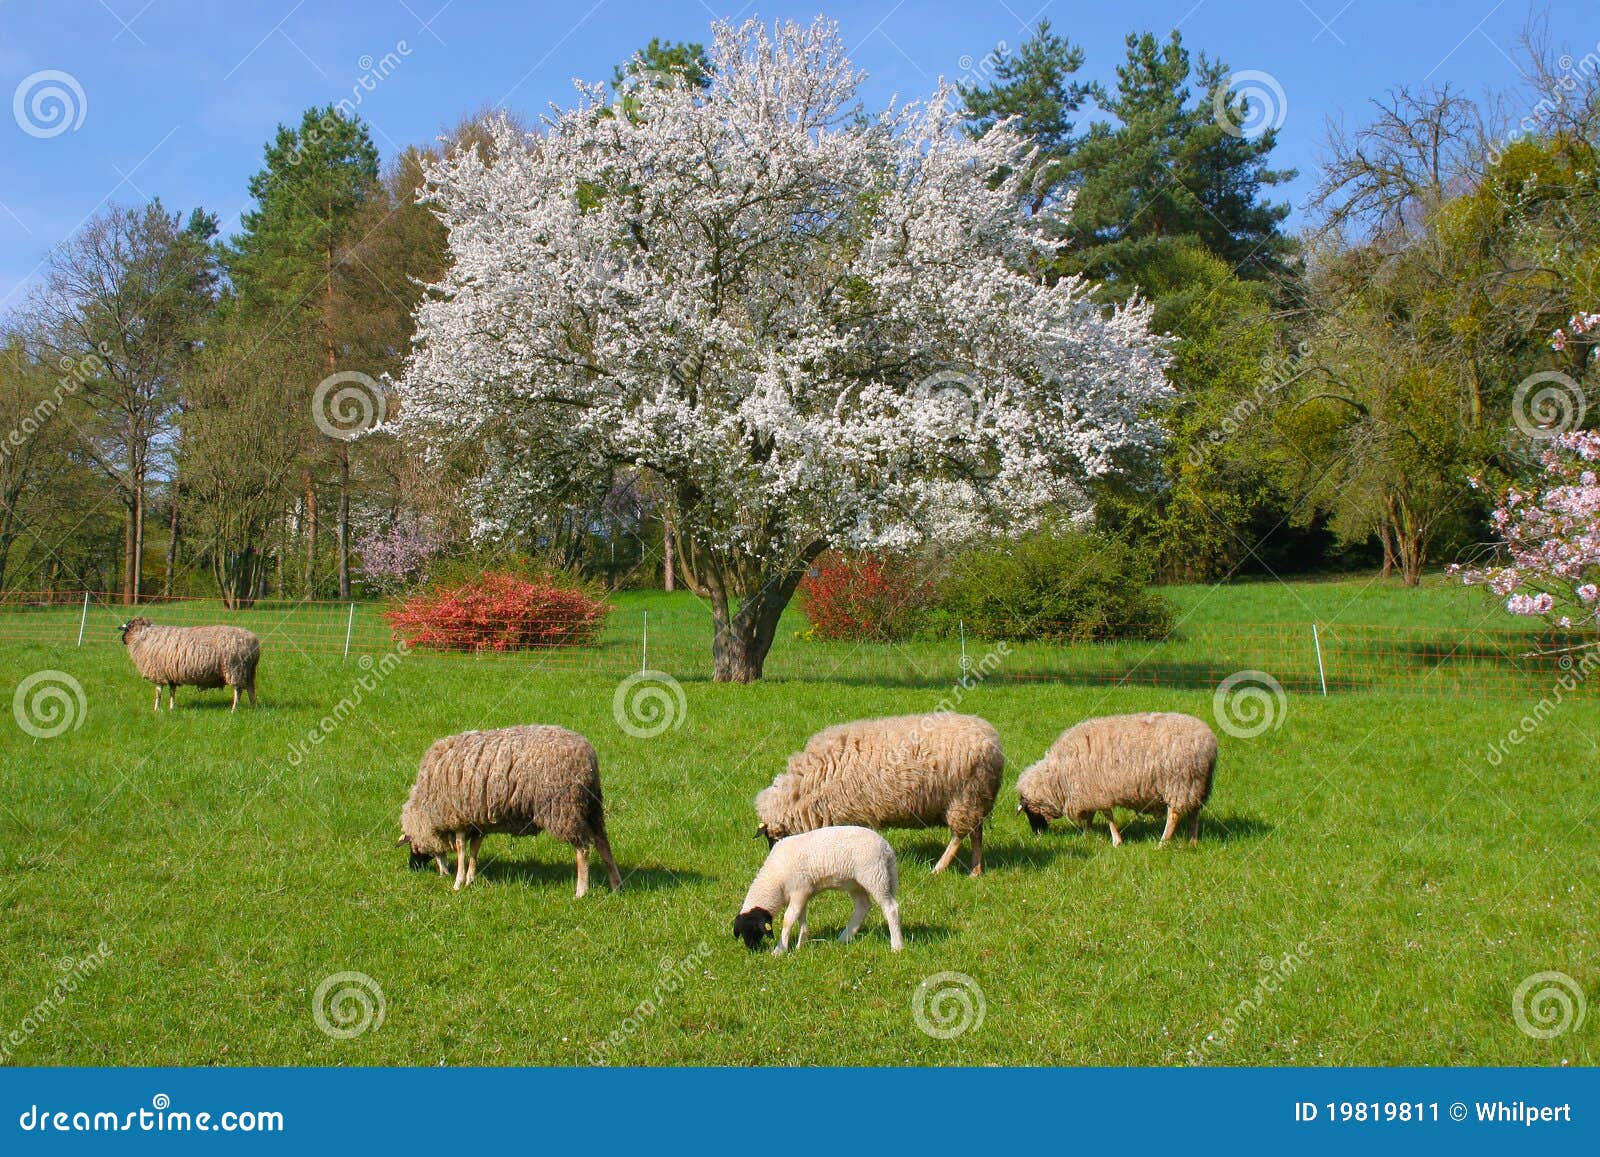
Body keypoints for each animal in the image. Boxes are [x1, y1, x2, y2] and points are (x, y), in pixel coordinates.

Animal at [117, 616, 260, 712]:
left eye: (126, 629)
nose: (122, 640)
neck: (143, 636)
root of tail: (253, 641)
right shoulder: (171, 674)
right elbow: (172, 692)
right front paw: (171, 708)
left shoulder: (158, 672)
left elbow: (158, 692)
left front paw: (156, 709)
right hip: (248, 670)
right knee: (250, 689)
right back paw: (253, 707)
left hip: (234, 668)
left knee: (238, 690)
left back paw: (233, 709)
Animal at [398, 724, 622, 896]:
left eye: (413, 845)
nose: (412, 867)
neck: (426, 810)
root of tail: (587, 755)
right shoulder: (477, 821)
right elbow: (474, 849)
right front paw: (470, 879)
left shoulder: (458, 816)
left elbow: (461, 850)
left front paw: (458, 882)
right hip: (592, 806)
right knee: (603, 843)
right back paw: (616, 885)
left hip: (563, 809)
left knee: (583, 848)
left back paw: (581, 891)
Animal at [733, 825, 903, 954]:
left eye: (753, 929)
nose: (752, 949)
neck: (774, 881)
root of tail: (886, 848)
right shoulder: (802, 894)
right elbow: (801, 918)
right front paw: (800, 945)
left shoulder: (799, 890)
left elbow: (788, 920)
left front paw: (779, 950)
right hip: (855, 883)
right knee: (863, 906)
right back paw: (844, 938)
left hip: (874, 876)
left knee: (890, 908)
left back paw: (897, 946)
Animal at [755, 713, 1003, 877]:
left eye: (771, 839)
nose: (772, 863)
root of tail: (993, 740)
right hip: (976, 798)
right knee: (976, 834)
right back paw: (975, 870)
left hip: (965, 798)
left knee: (959, 836)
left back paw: (939, 868)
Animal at [1017, 712, 1217, 846]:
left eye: (1029, 812)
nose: (1038, 834)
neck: (1058, 777)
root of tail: (1210, 741)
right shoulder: (1088, 793)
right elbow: (1090, 816)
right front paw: (1086, 835)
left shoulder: (1098, 791)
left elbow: (1107, 815)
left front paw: (1116, 840)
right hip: (1195, 785)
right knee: (1194, 813)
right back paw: (1193, 841)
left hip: (1179, 783)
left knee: (1174, 815)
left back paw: (1162, 842)